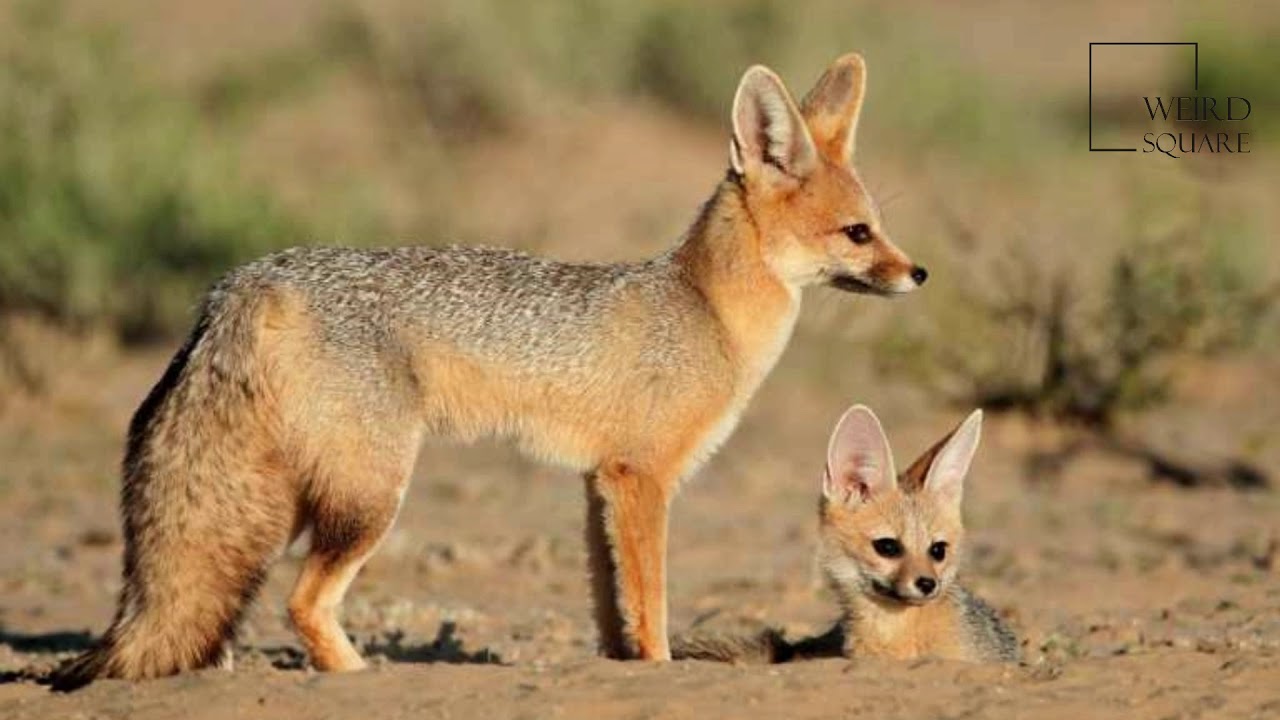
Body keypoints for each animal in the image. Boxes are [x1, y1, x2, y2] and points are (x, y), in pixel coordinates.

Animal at [51, 53, 926, 690]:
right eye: (857, 234)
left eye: (880, 227)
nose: (918, 274)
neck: (704, 308)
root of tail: (248, 277)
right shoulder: (642, 478)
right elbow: (652, 603)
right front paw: (660, 670)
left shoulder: (598, 481)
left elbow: (611, 604)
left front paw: (616, 666)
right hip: (372, 498)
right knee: (301, 601)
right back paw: (361, 676)